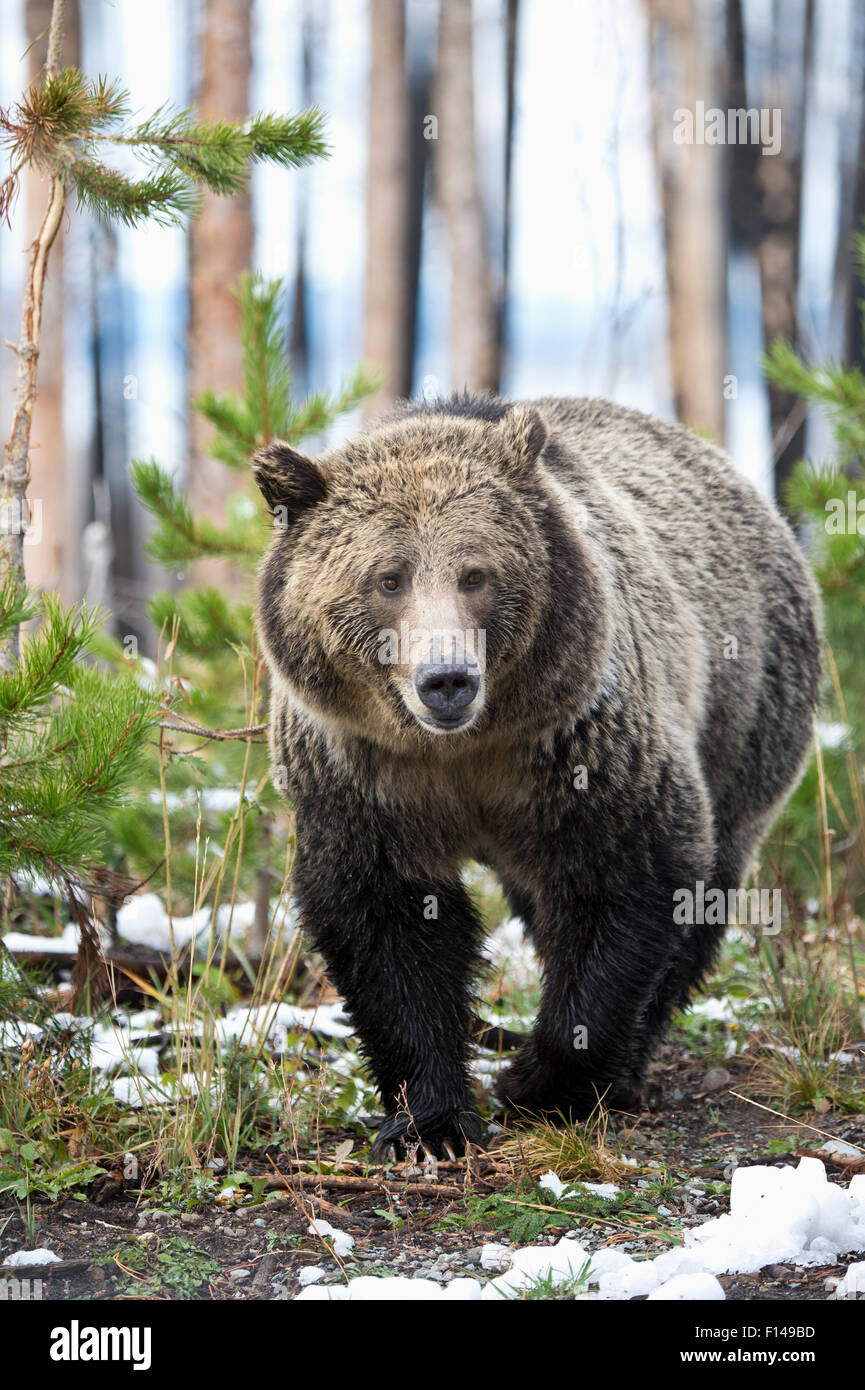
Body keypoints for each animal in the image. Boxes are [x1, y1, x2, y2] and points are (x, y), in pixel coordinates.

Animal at [252, 393, 821, 1158]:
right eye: (388, 578)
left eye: (476, 573)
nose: (447, 680)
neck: (467, 751)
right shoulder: (362, 774)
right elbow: (385, 923)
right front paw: (429, 1123)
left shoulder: (582, 747)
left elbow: (627, 878)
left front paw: (542, 1081)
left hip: (750, 706)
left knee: (705, 879)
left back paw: (629, 1062)